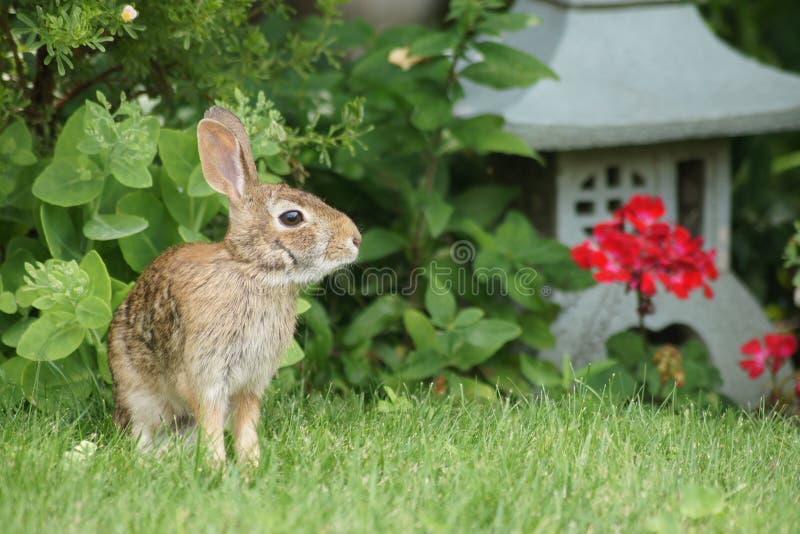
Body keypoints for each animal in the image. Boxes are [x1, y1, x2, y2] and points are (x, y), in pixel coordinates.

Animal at [108, 106, 361, 464]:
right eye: (292, 217)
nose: (356, 239)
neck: (251, 270)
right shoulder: (207, 377)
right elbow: (213, 423)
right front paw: (218, 467)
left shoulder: (251, 384)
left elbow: (246, 426)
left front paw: (251, 464)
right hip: (136, 390)